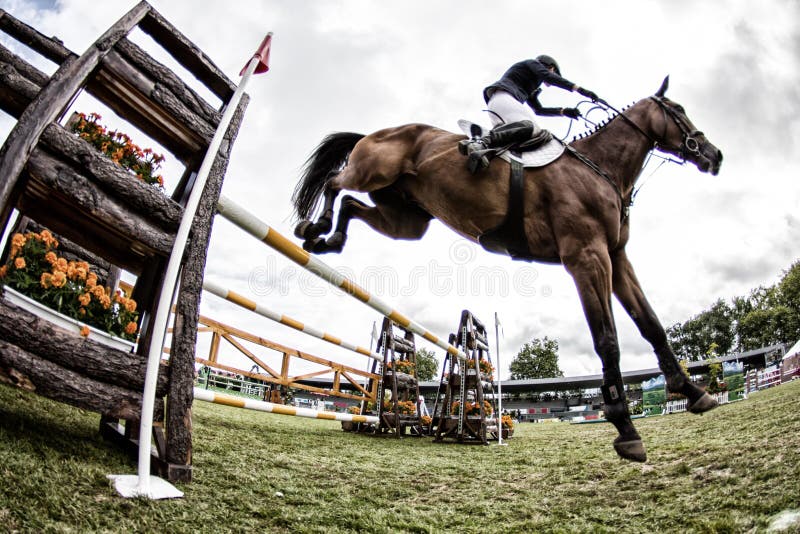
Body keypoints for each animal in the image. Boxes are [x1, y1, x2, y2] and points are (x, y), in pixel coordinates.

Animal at [291, 77, 723, 461]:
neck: (600, 168)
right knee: (336, 182)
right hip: (373, 171)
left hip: (405, 221)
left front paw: (692, 391)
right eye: (678, 110)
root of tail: (378, 132)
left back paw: (328, 239)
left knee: (351, 204)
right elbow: (607, 339)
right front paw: (625, 426)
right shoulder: (586, 256)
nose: (715, 155)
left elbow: (650, 323)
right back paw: (312, 226)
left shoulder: (616, 257)